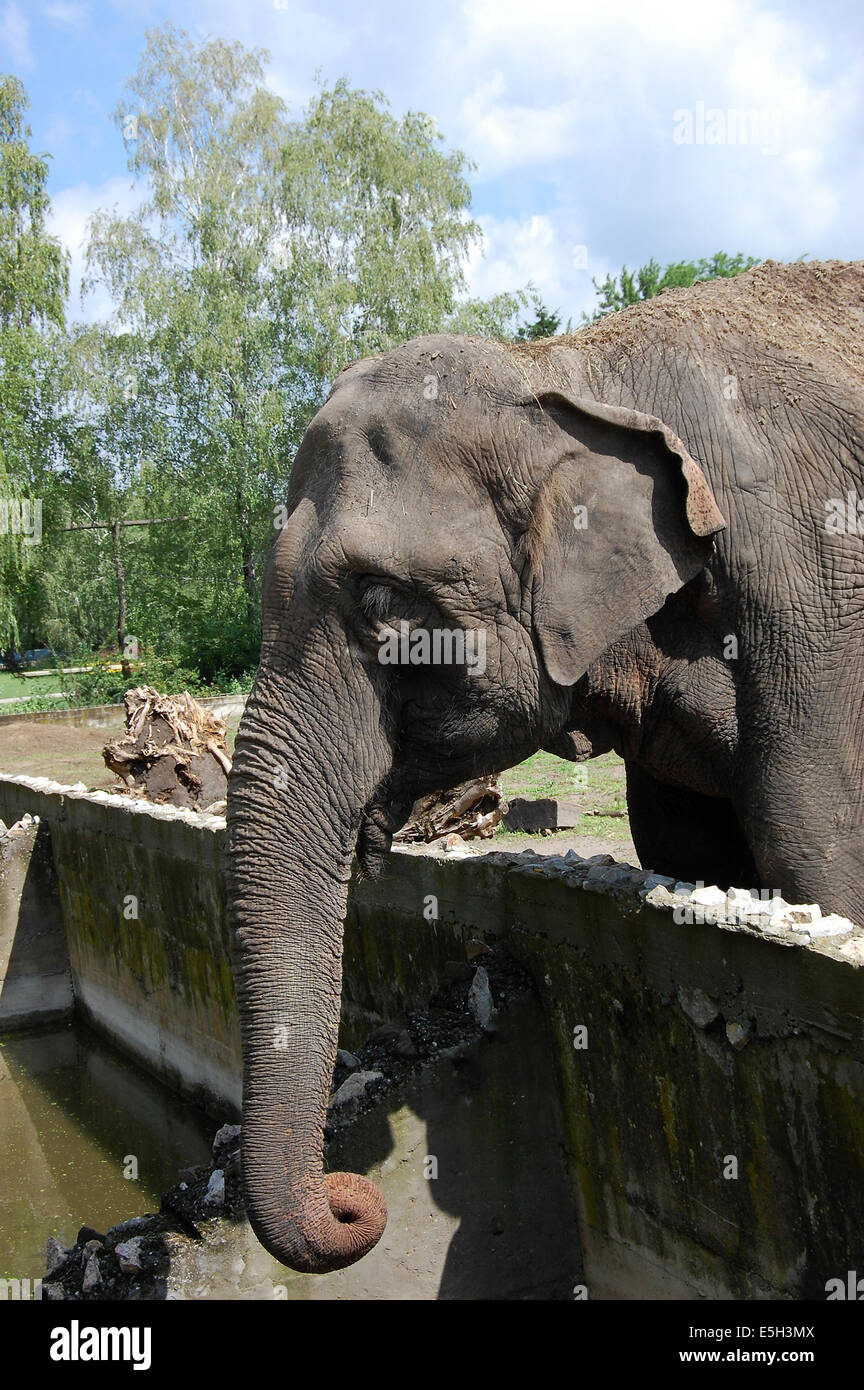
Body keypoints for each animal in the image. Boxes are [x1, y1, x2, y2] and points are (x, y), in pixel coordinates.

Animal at [226, 258, 864, 1274]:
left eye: (380, 599)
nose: (352, 1197)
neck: (567, 370)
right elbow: (684, 846)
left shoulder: (811, 591)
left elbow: (817, 846)